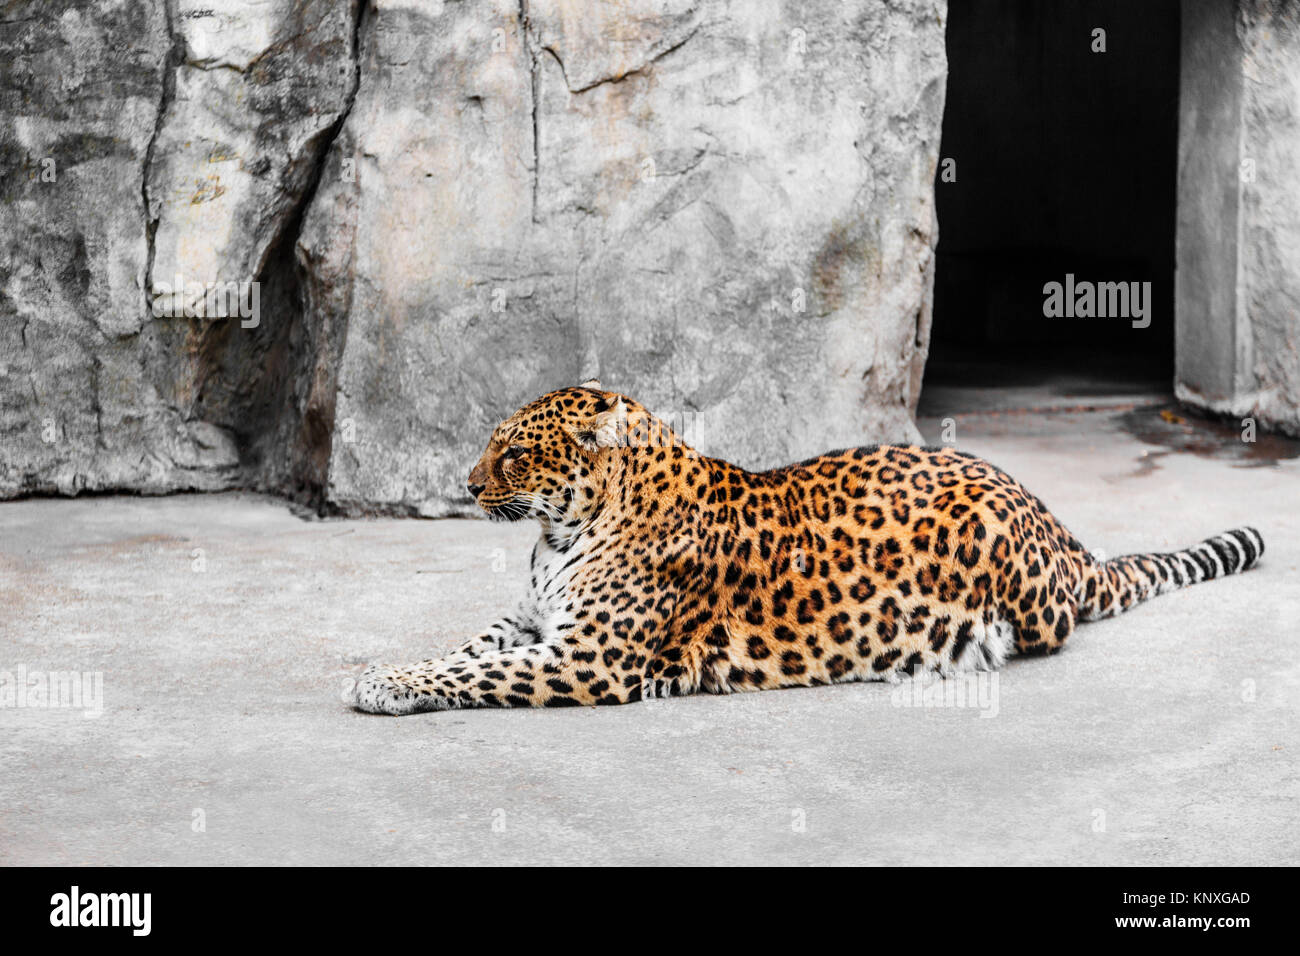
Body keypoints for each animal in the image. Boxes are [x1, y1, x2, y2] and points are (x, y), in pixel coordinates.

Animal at [350, 380, 1265, 715]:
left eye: (512, 453)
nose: (467, 484)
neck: (565, 529)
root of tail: (1056, 526)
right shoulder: (531, 625)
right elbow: (465, 649)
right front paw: (384, 669)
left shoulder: (589, 660)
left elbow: (476, 674)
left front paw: (386, 685)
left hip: (1010, 576)